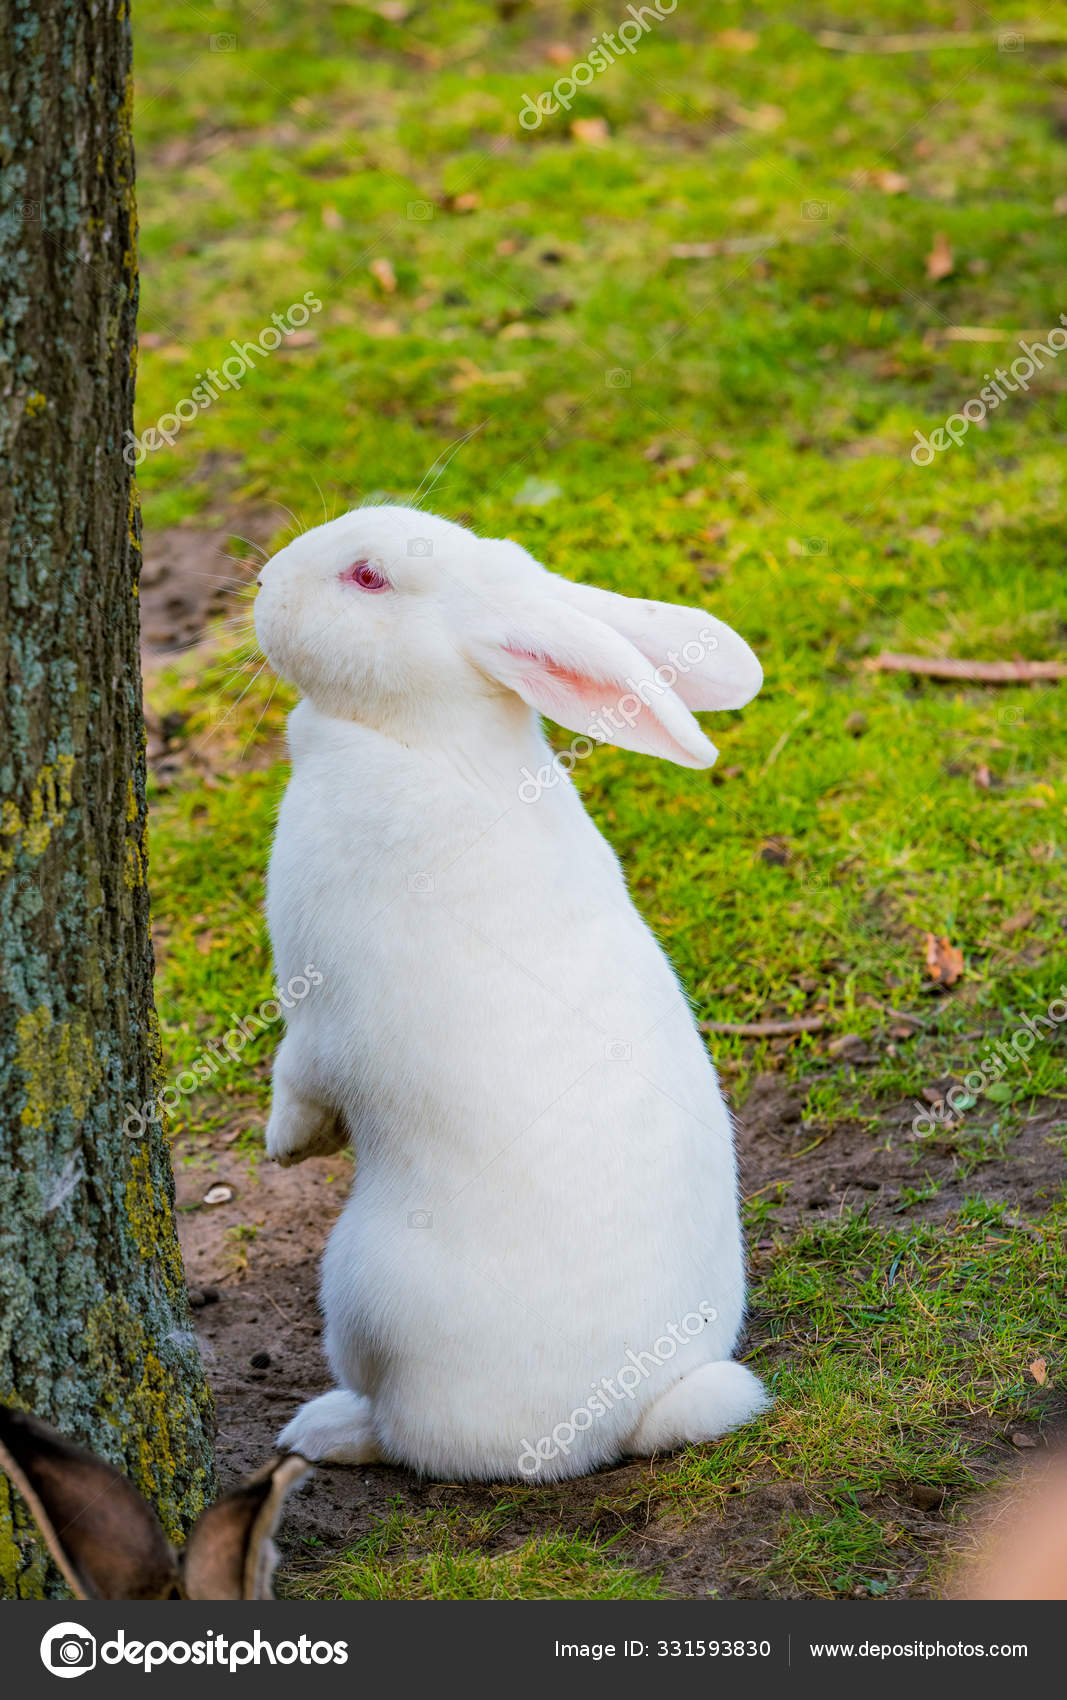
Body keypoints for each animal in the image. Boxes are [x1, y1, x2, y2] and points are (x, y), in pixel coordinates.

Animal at [254, 504, 769, 1481]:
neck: (423, 742)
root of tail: (627, 1415)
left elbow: (296, 1076)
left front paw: (286, 1148)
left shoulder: (314, 1000)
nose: (265, 582)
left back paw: (321, 1431)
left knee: (406, 1435)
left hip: (358, 1285)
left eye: (368, 578)